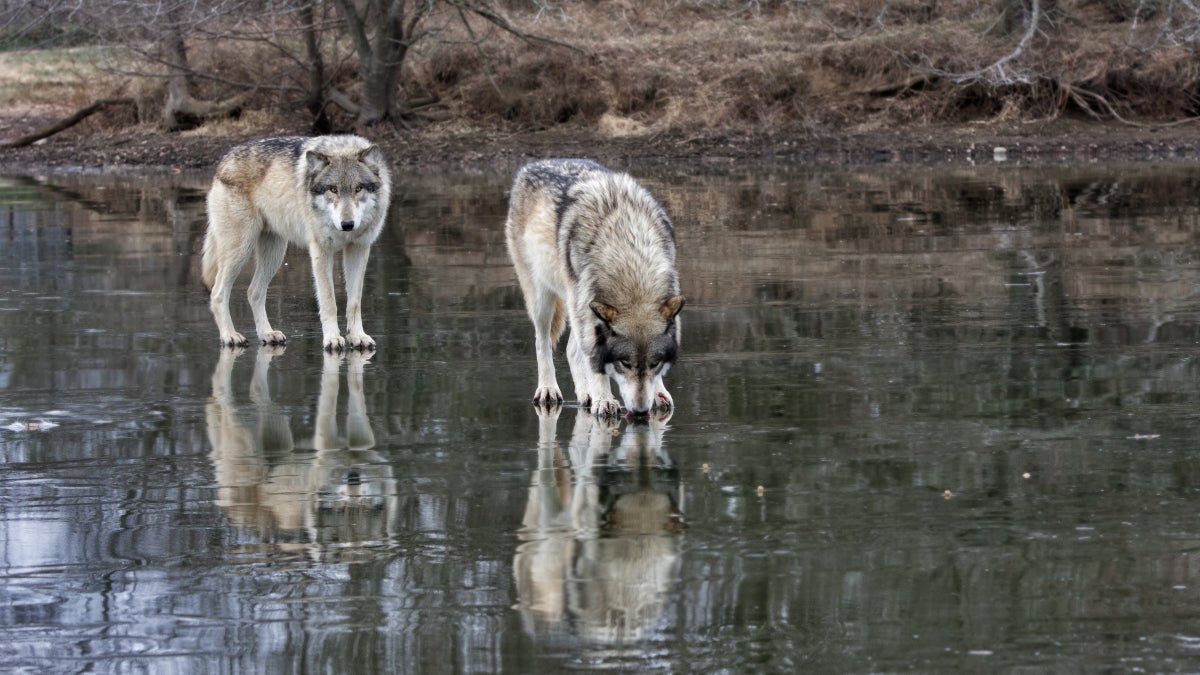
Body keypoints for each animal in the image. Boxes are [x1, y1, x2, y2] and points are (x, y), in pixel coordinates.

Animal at [201, 135, 391, 352]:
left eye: (358, 188)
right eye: (332, 189)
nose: (347, 224)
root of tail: (224, 159)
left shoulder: (358, 249)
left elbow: (354, 302)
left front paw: (357, 336)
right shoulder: (321, 251)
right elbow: (329, 302)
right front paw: (332, 338)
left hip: (274, 254)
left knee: (254, 292)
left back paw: (267, 333)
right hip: (240, 251)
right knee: (217, 293)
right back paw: (229, 336)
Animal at [505, 159, 684, 416]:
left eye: (655, 363)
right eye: (624, 363)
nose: (640, 411)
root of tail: (531, 165)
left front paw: (658, 393)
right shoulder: (587, 308)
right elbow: (595, 363)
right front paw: (604, 399)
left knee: (572, 350)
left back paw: (585, 394)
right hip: (544, 300)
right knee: (542, 342)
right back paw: (549, 390)